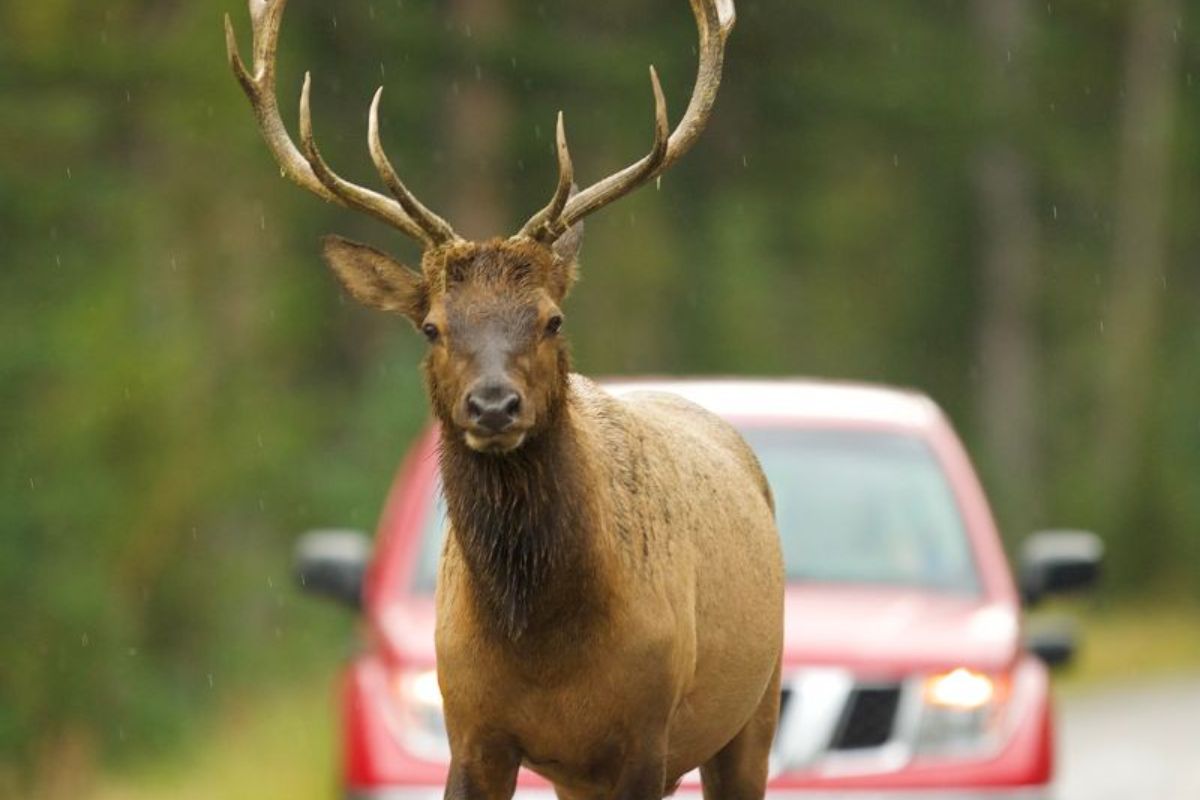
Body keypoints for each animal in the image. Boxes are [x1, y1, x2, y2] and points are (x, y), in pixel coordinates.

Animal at [225, 1, 783, 798]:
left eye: (553, 318)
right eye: (432, 326)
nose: (493, 407)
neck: (544, 649)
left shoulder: (646, 735)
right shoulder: (471, 727)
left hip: (752, 711)